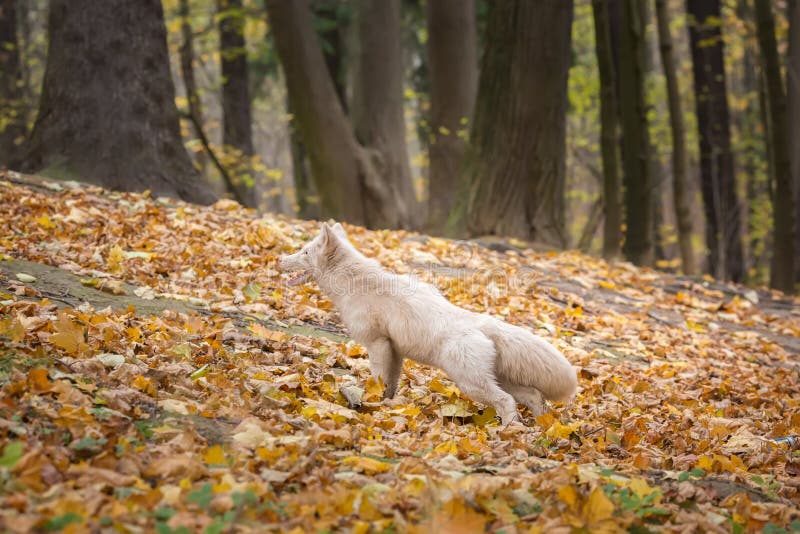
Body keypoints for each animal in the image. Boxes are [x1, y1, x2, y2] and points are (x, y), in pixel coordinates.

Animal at [279, 222, 577, 425]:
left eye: (304, 252)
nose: (280, 258)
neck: (355, 285)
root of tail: (484, 324)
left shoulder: (377, 344)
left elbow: (376, 379)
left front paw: (369, 403)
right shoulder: (395, 350)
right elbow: (390, 385)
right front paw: (386, 407)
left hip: (470, 383)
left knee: (507, 401)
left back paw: (509, 431)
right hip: (495, 380)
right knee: (532, 397)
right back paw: (540, 427)